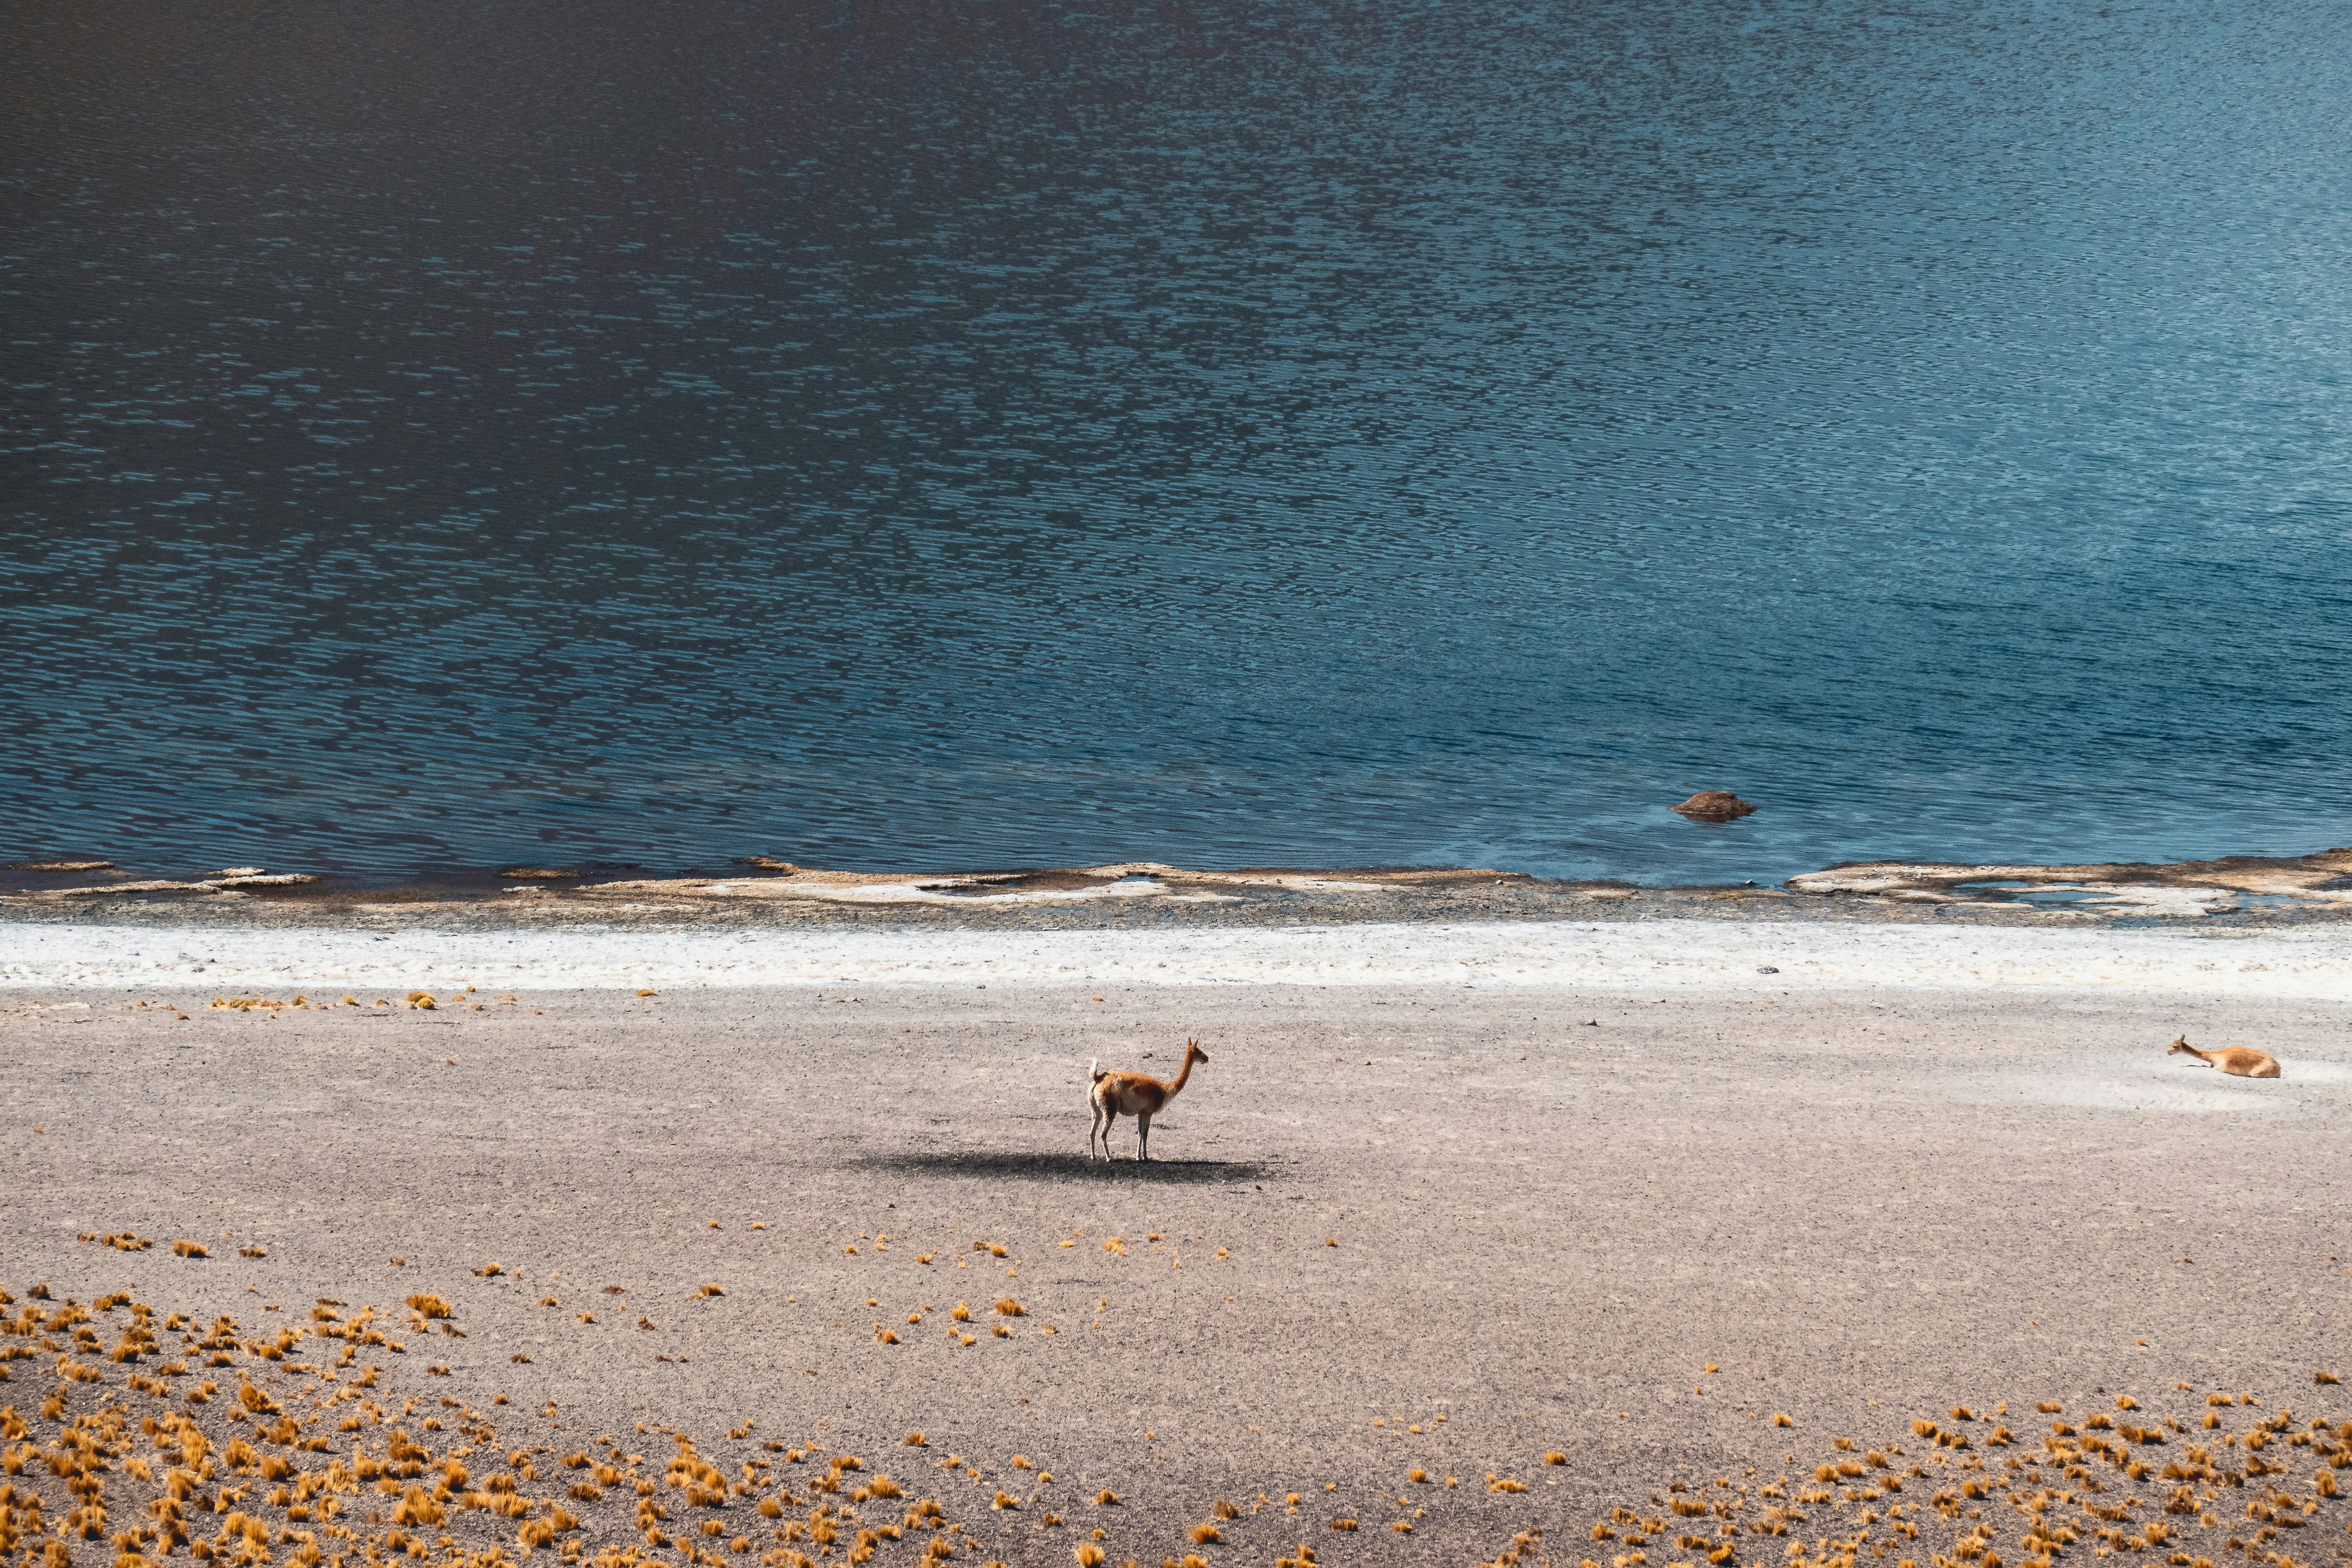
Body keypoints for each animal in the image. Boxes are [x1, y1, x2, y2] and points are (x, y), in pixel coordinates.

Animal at [1088, 1038, 1209, 1161]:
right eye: (1199, 1051)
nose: (1207, 1058)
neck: (1165, 1090)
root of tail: (1099, 1079)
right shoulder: (1148, 1113)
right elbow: (1145, 1134)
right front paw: (1146, 1157)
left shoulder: (1141, 1113)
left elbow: (1140, 1134)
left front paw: (1138, 1156)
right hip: (1110, 1109)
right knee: (1103, 1134)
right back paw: (1109, 1158)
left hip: (1096, 1110)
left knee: (1092, 1132)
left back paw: (1093, 1156)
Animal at [2167, 1035, 2281, 1079]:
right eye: (2171, 1044)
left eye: (2175, 1046)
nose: (2168, 1052)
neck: (2217, 1056)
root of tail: (2279, 1068)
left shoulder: (2220, 1068)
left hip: (2257, 1072)